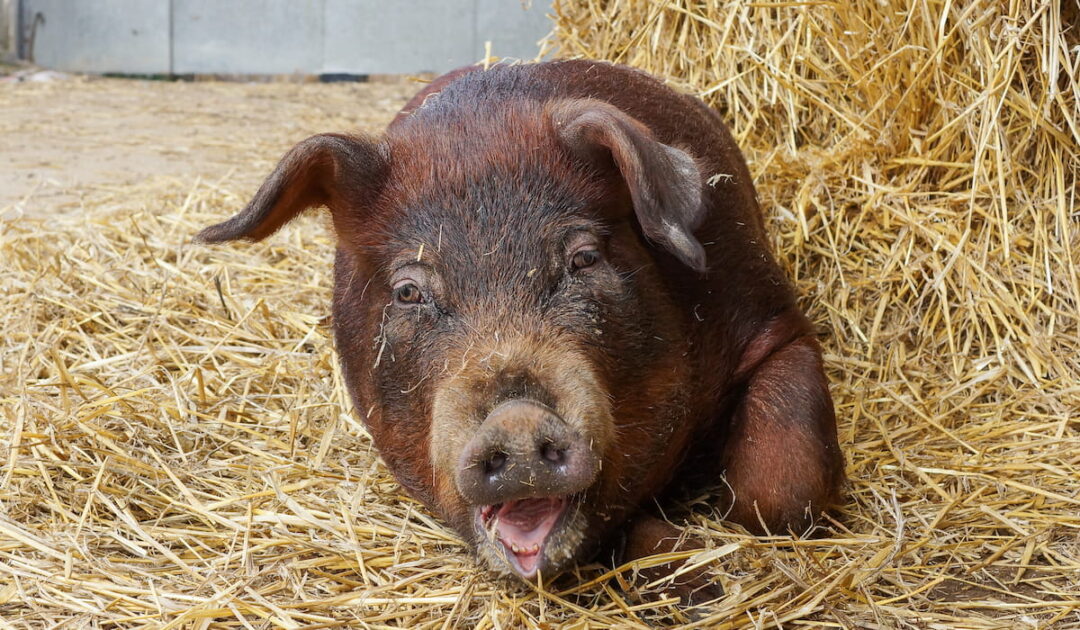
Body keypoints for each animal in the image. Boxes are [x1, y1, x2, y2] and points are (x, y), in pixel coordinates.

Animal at [196, 60, 844, 604]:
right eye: (408, 292)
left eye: (583, 258)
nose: (517, 419)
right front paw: (691, 570)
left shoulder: (776, 322)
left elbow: (780, 488)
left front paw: (718, 569)